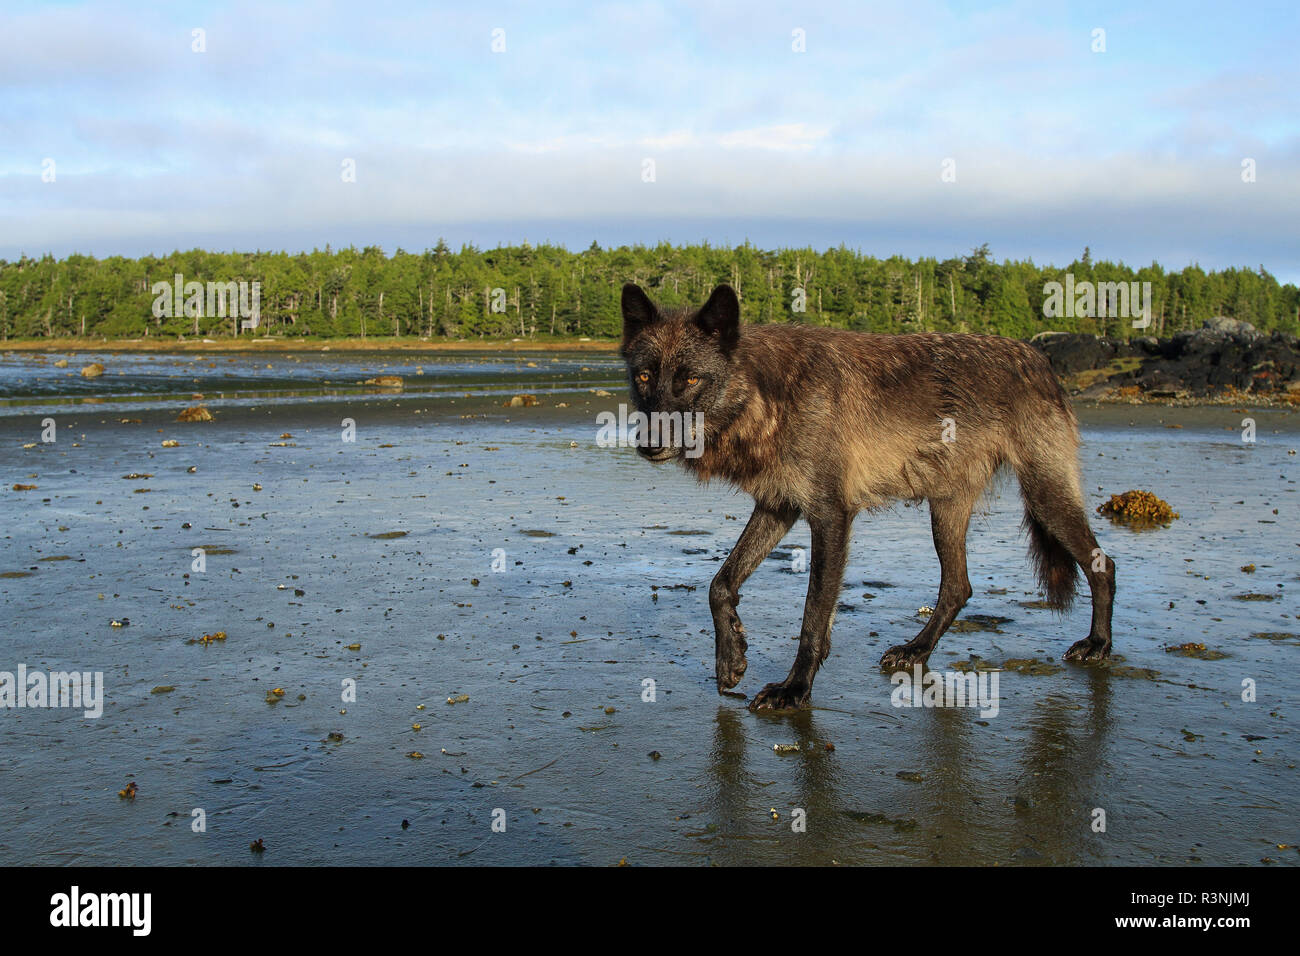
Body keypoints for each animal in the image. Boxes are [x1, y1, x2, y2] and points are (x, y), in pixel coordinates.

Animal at [620, 282, 1116, 711]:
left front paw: (794, 689)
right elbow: (720, 584)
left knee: (1103, 565)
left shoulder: (830, 517)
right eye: (644, 376)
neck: (769, 395)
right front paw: (731, 659)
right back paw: (917, 651)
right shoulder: (778, 507)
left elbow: (813, 614)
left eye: (689, 380)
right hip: (947, 513)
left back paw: (1098, 644)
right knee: (958, 586)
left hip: (1046, 499)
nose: (648, 444)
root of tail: (1038, 358)